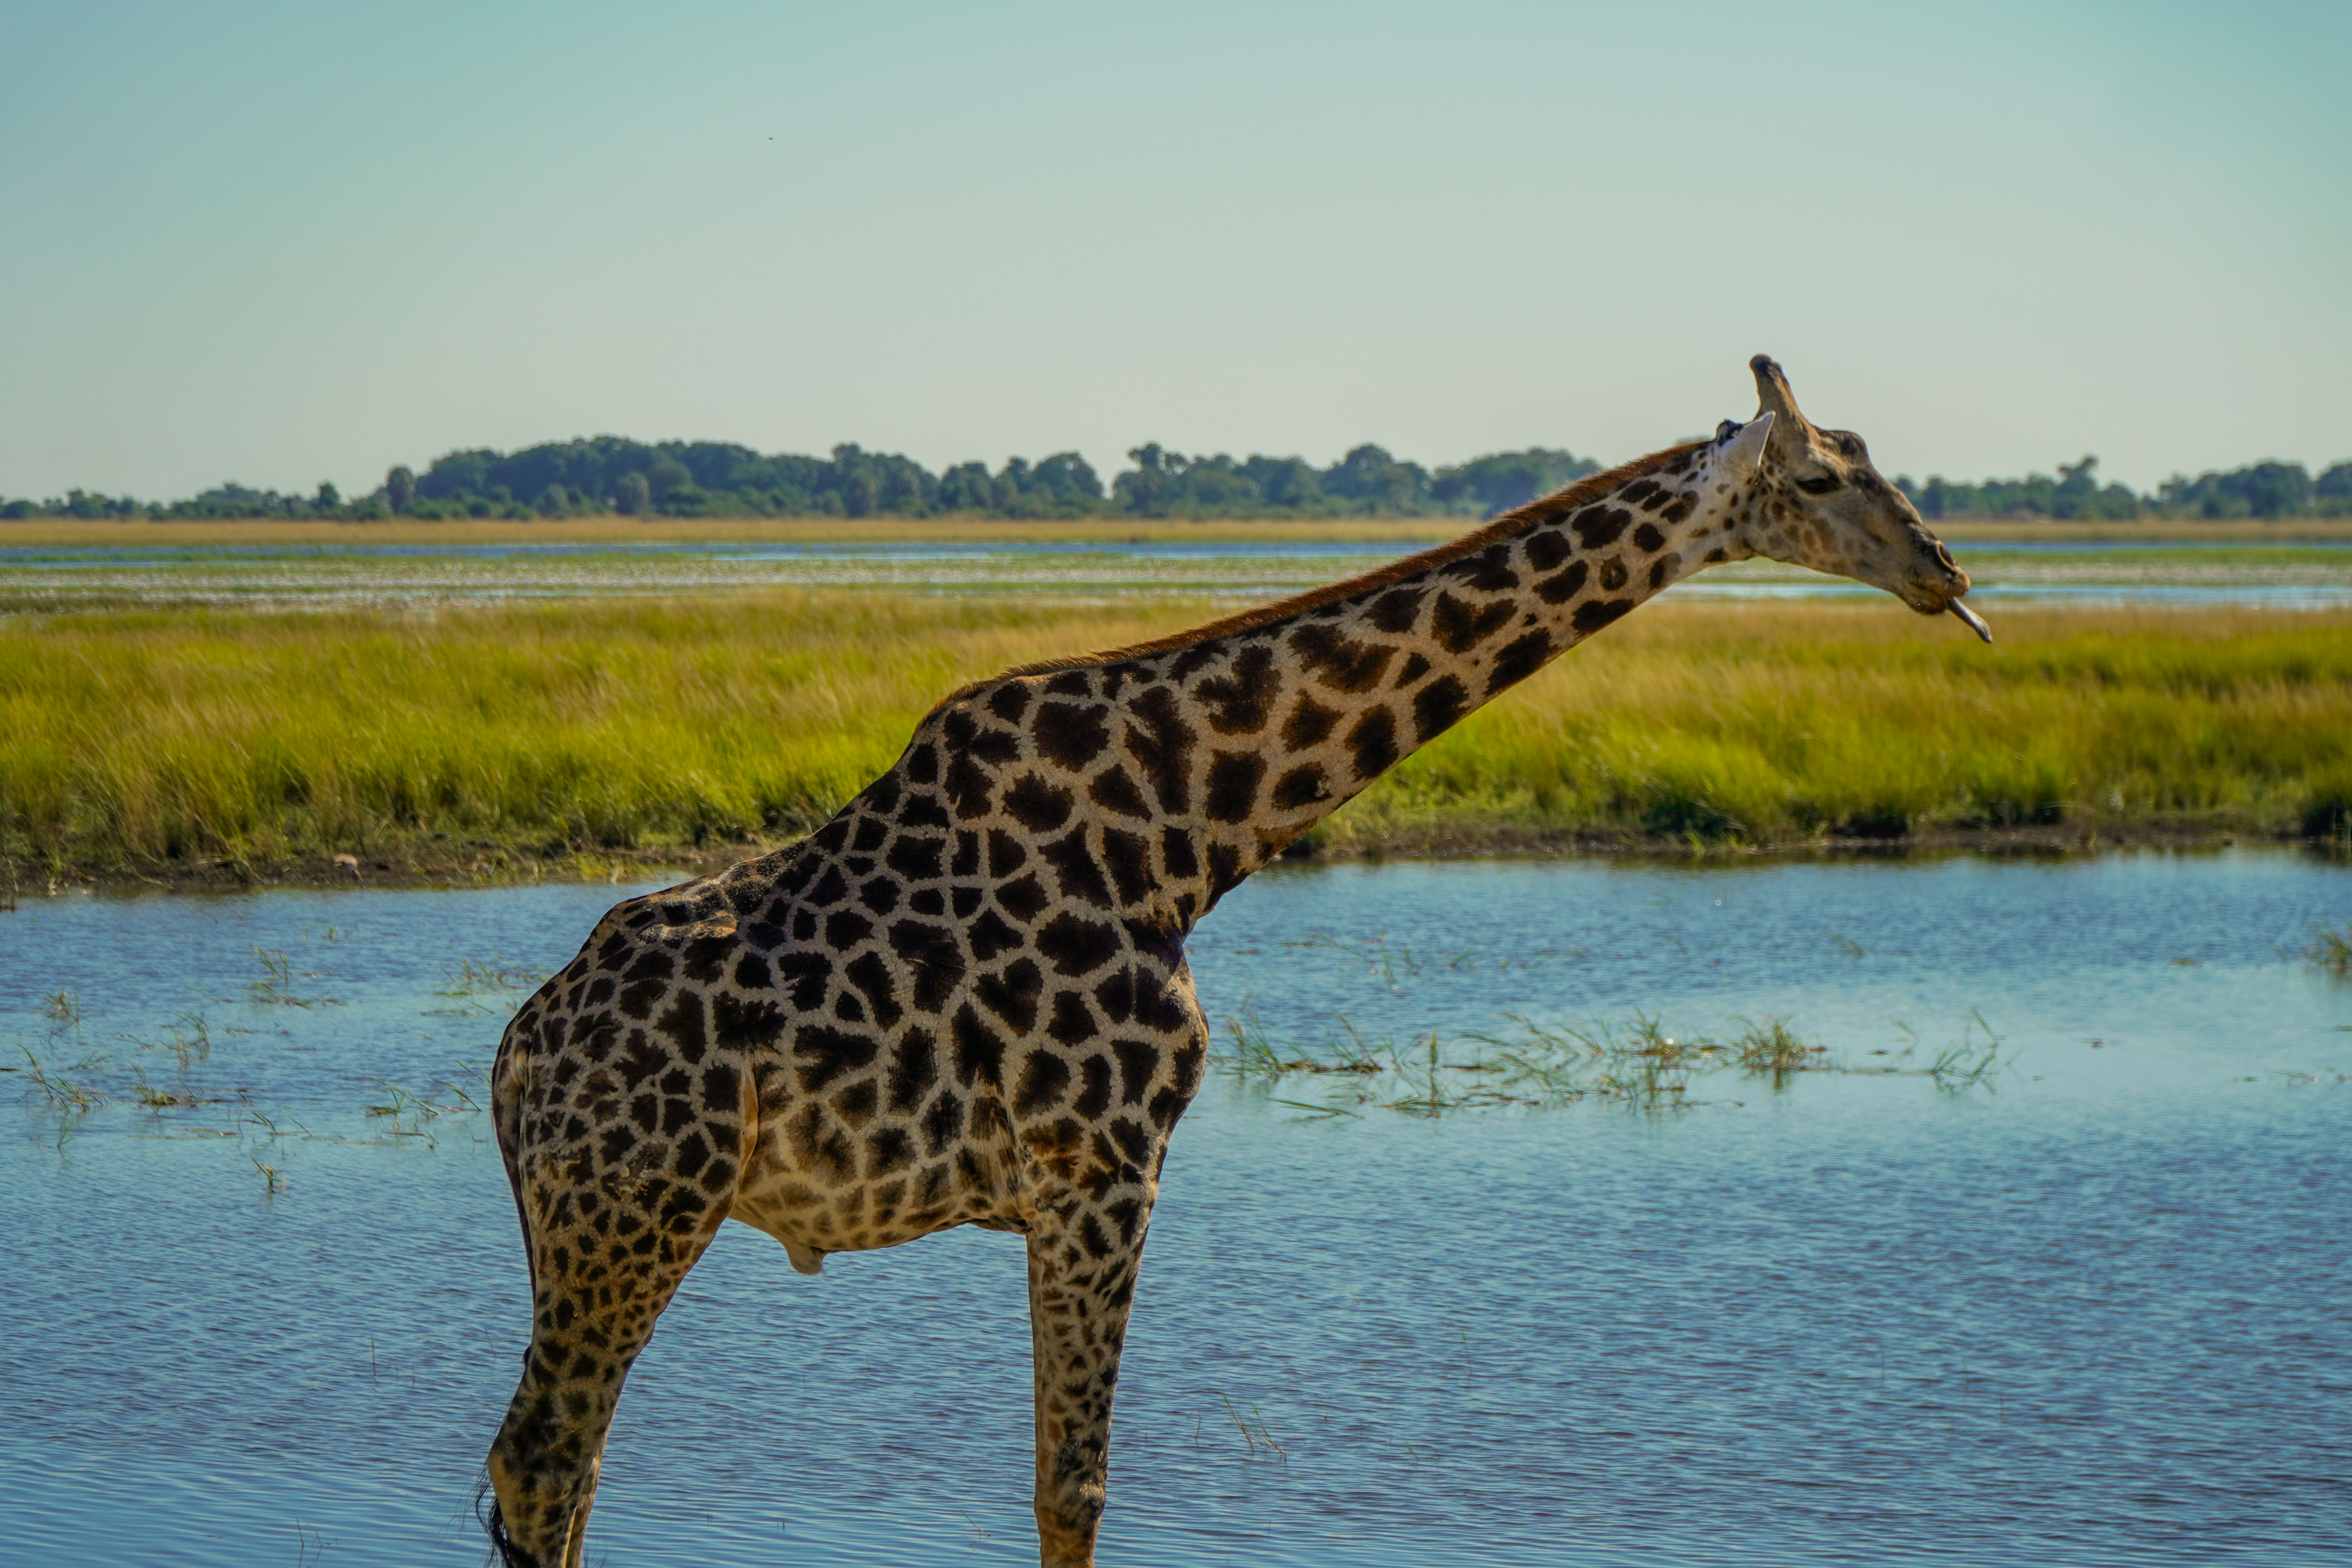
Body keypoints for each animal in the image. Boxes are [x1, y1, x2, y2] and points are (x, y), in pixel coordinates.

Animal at [482, 355, 1984, 1567]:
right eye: (1819, 473)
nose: (1948, 573)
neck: (1190, 827)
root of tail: (516, 1056)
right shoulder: (1103, 1165)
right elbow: (1074, 1486)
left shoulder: (1084, 1178)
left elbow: (1060, 1480)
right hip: (639, 1206)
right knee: (548, 1459)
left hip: (591, 1222)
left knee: (547, 1464)